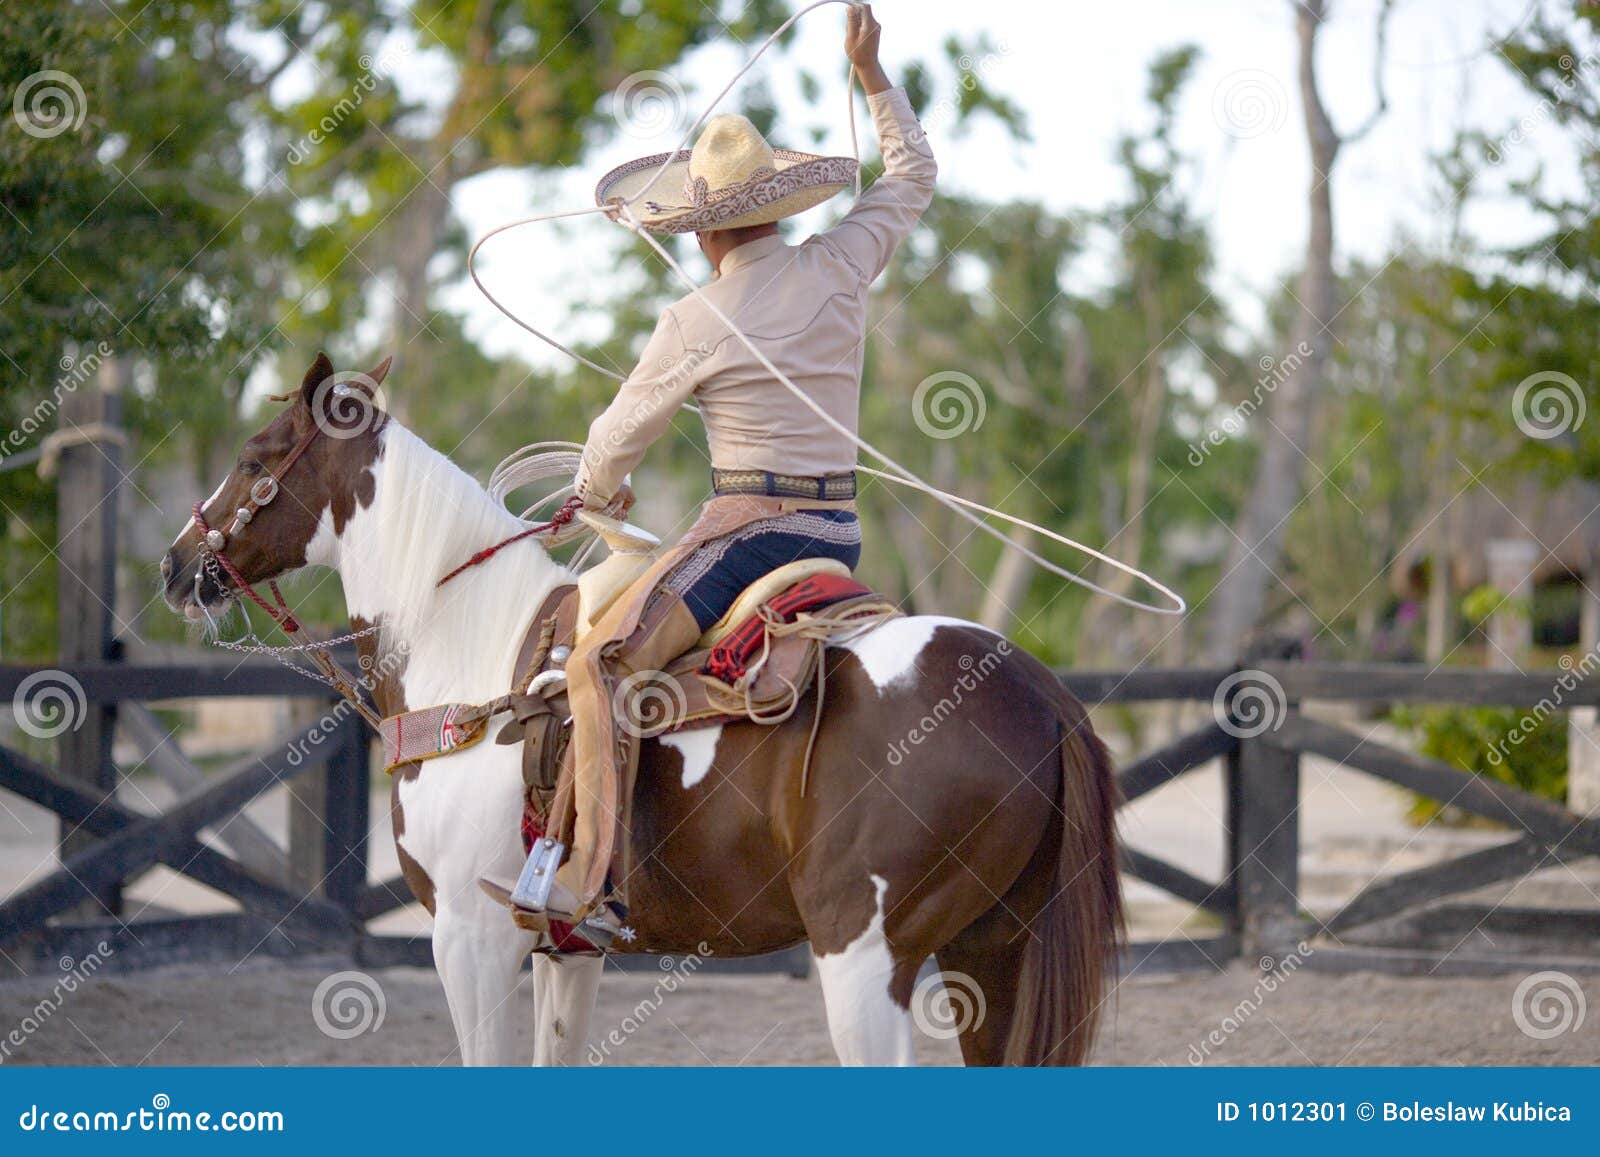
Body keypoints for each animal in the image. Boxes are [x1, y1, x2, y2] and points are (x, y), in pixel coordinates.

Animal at [159, 352, 1123, 1066]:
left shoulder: (468, 938)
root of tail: (1040, 694)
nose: (175, 566)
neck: (471, 649)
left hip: (863, 957)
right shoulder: (561, 952)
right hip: (994, 950)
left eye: (256, 458)